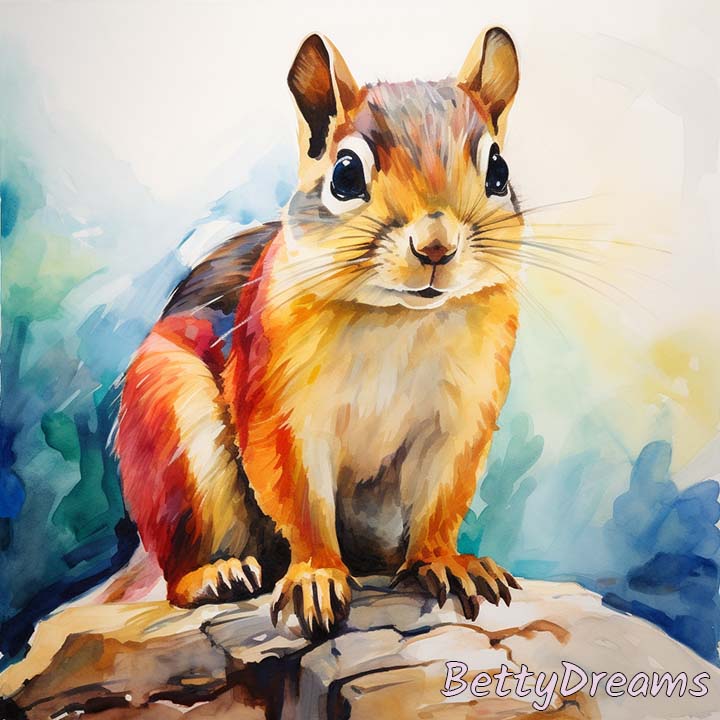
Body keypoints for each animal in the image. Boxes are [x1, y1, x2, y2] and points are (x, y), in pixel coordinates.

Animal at [117, 27, 524, 638]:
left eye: (498, 171)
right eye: (346, 174)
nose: (436, 247)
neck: (399, 319)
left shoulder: (460, 420)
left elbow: (441, 498)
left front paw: (446, 561)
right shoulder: (278, 407)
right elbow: (302, 501)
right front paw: (316, 575)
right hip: (171, 428)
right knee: (178, 574)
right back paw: (218, 574)